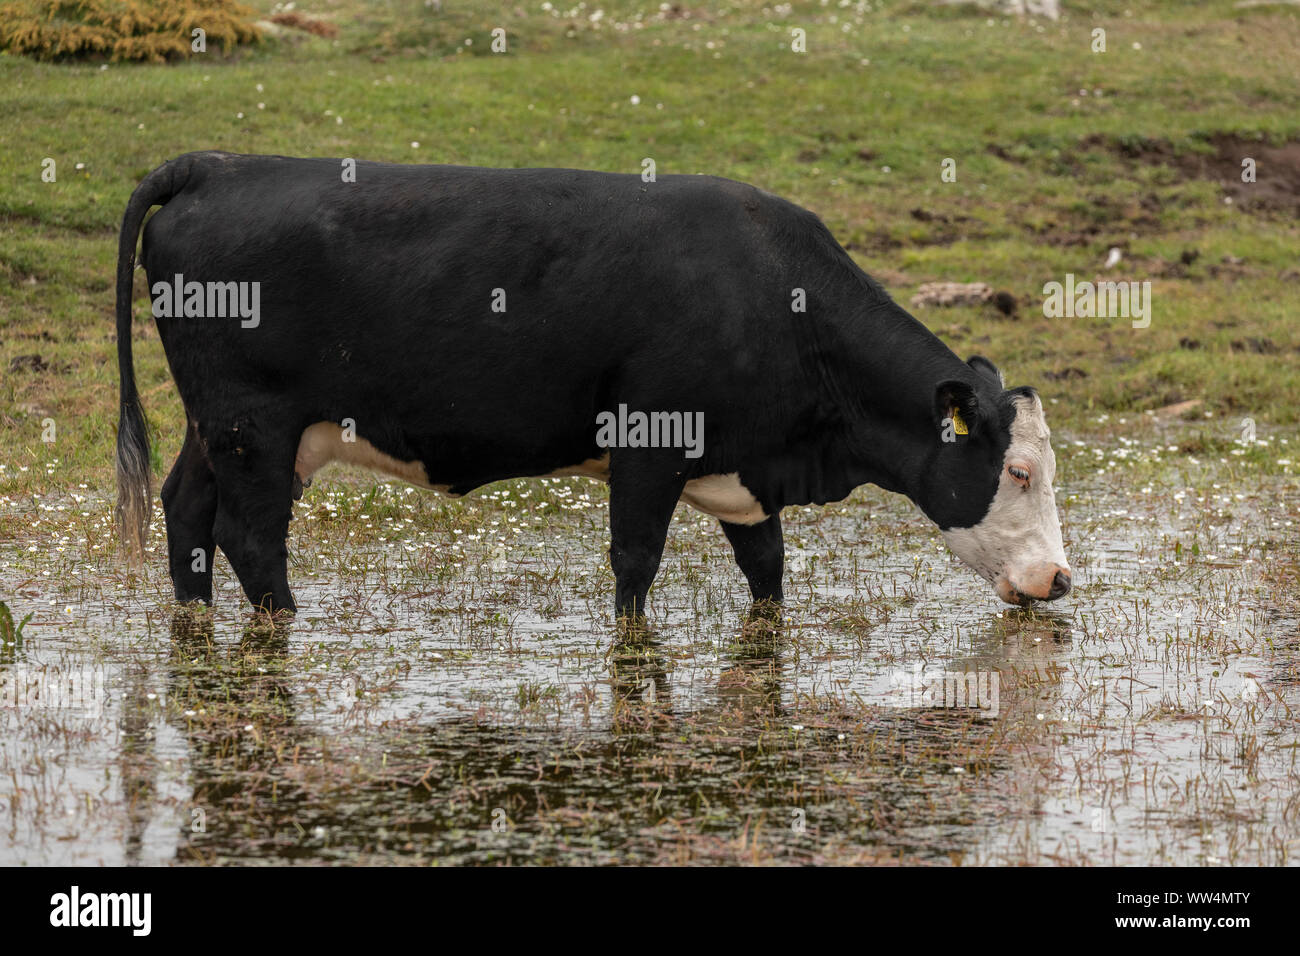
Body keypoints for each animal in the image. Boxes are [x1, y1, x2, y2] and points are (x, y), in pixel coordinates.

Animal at [114, 151, 1070, 617]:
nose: (1060, 580)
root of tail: (219, 164)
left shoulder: (746, 473)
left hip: (221, 429)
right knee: (250, 538)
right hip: (255, 427)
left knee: (186, 512)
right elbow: (634, 566)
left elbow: (767, 572)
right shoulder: (650, 445)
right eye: (1018, 472)